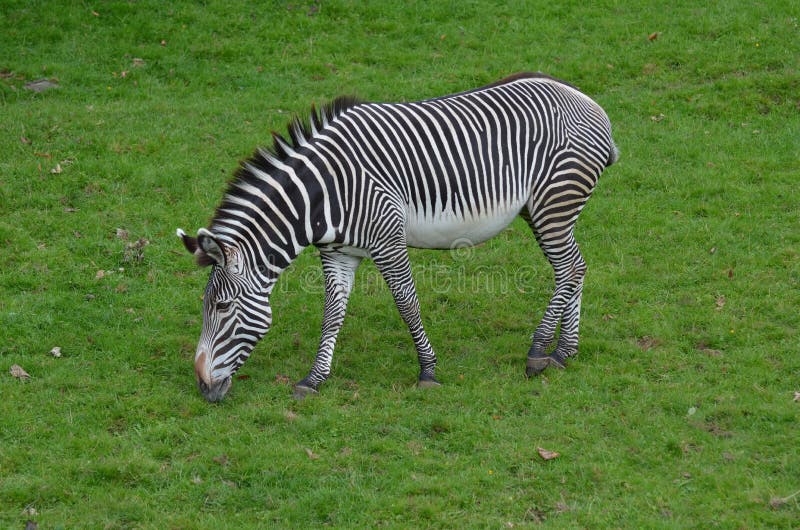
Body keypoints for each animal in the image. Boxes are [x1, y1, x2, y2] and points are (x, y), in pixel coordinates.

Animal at [178, 72, 618, 402]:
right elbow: (332, 312)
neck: (323, 194)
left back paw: (538, 351)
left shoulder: (387, 242)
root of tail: (586, 100)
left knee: (569, 268)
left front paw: (428, 371)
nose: (202, 386)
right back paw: (563, 351)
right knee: (574, 268)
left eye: (221, 307)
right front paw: (313, 379)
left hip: (554, 202)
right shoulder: (337, 252)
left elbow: (407, 303)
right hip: (545, 209)